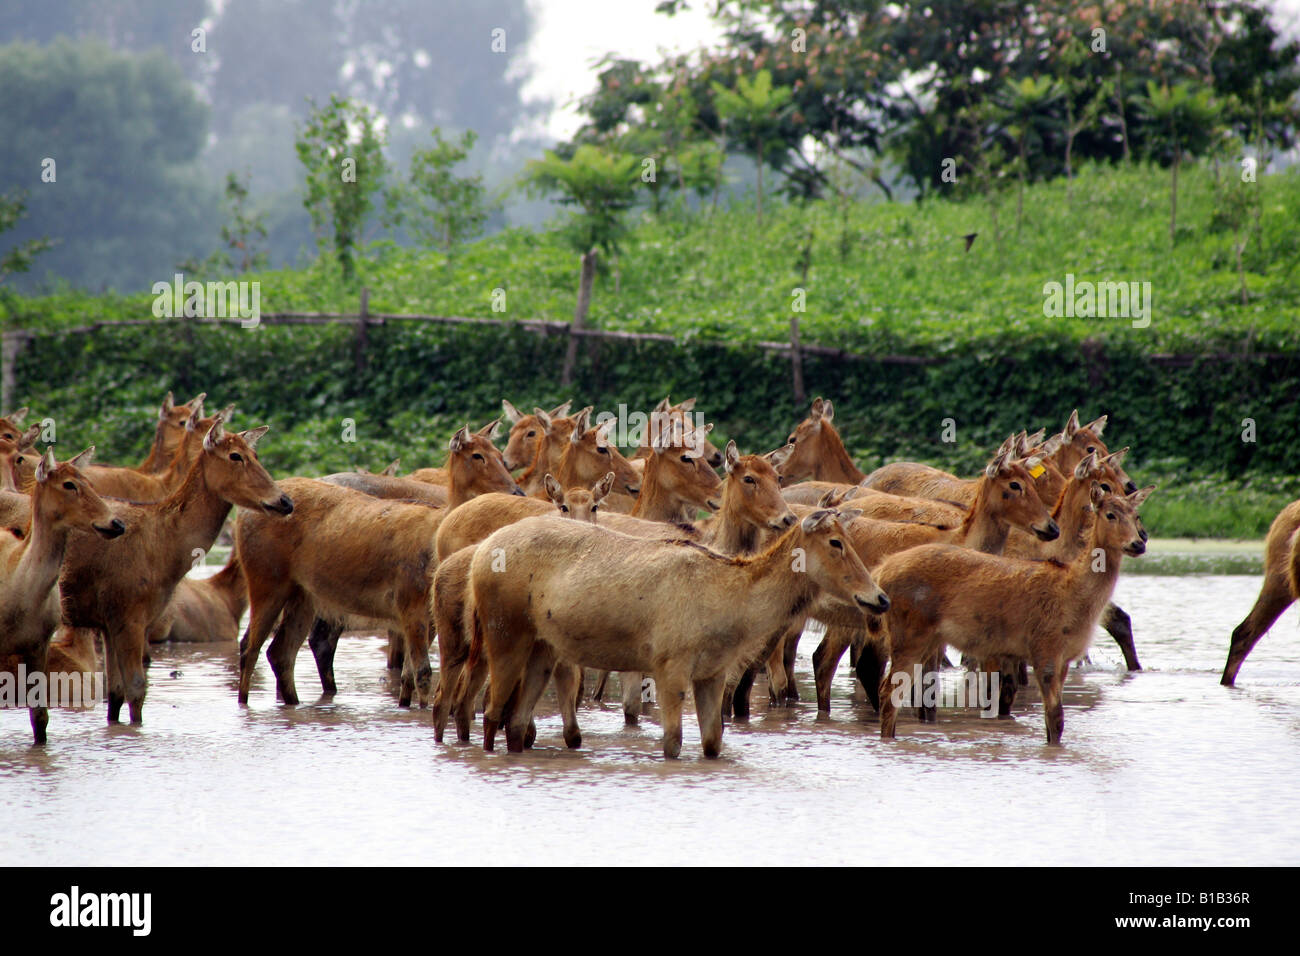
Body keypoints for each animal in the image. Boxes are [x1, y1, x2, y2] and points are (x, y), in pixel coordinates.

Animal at [59, 421, 292, 726]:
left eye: (255, 454)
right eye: (235, 456)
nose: (285, 501)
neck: (165, 548)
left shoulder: (110, 620)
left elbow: (115, 694)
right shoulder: (129, 614)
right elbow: (136, 689)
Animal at [465, 508, 887, 758]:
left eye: (850, 539)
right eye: (835, 542)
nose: (879, 598)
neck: (734, 610)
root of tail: (478, 556)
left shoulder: (713, 672)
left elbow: (713, 742)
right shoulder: (670, 664)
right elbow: (672, 743)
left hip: (543, 645)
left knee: (516, 723)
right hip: (503, 631)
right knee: (491, 712)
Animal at [875, 483, 1152, 744]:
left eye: (1136, 514)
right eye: (1110, 514)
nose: (1138, 543)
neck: (1076, 599)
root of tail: (881, 571)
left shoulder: (1065, 659)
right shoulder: (1045, 647)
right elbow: (1056, 718)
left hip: (928, 639)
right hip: (907, 634)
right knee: (889, 691)